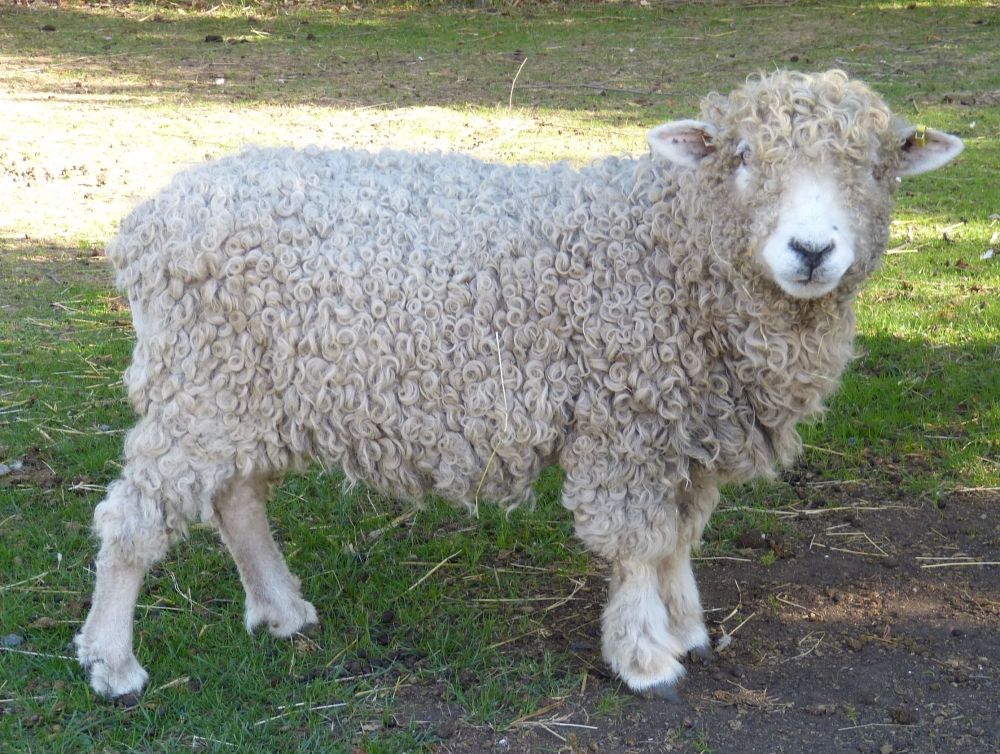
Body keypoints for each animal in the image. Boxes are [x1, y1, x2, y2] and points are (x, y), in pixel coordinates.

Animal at [75, 70, 963, 701]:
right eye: (742, 158)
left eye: (878, 168)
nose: (811, 250)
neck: (670, 246)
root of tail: (145, 224)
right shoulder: (623, 421)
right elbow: (637, 544)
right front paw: (645, 656)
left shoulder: (685, 423)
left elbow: (678, 536)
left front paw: (685, 625)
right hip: (199, 383)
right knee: (135, 519)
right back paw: (113, 663)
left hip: (246, 389)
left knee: (236, 497)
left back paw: (281, 610)